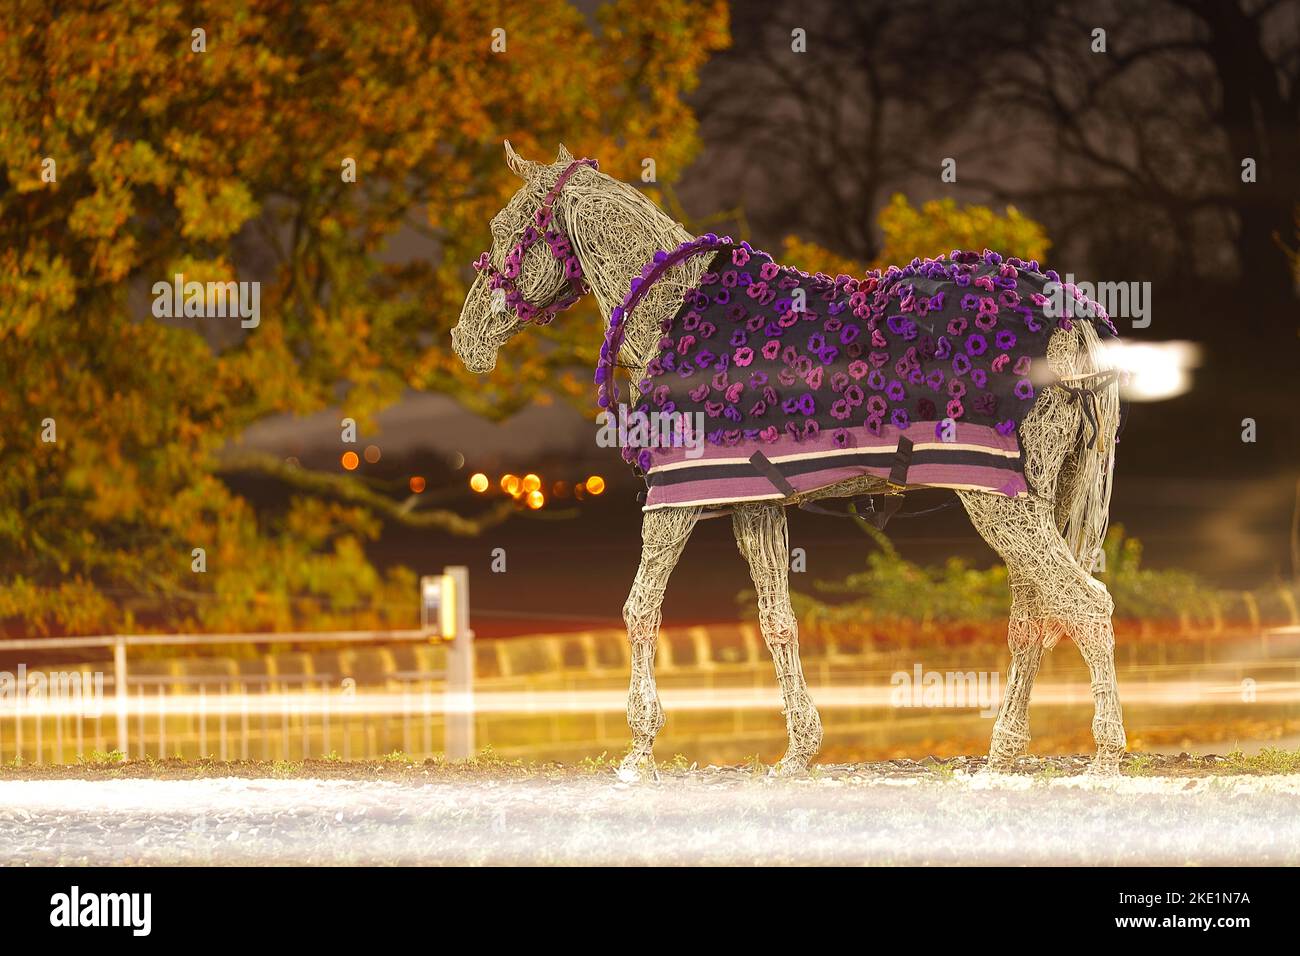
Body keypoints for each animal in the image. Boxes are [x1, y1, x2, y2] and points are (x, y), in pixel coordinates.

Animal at [452, 142, 1126, 779]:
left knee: (1086, 604)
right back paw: (1004, 751)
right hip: (1035, 495)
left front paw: (639, 749)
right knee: (1034, 615)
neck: (675, 310)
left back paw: (1106, 756)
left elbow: (640, 610)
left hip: (1001, 504)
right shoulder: (755, 505)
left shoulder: (673, 501)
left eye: (504, 228)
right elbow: (777, 619)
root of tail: (1068, 317)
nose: (467, 340)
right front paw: (799, 749)